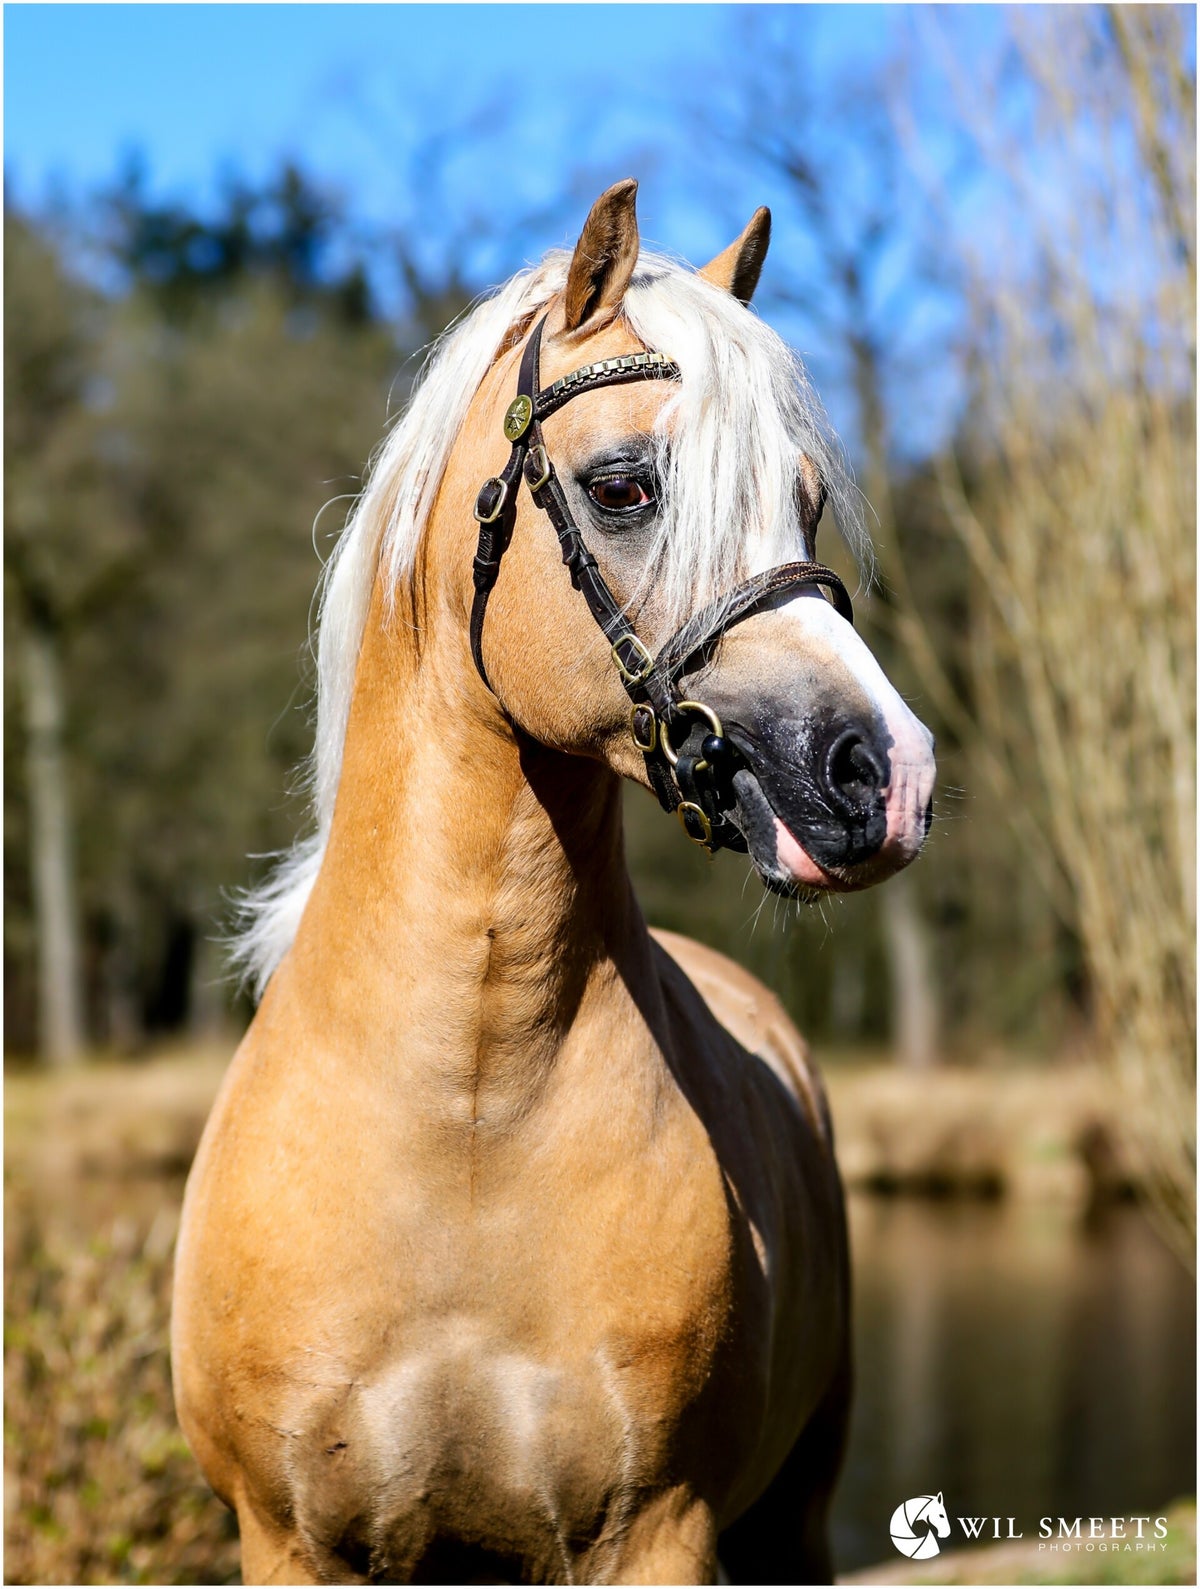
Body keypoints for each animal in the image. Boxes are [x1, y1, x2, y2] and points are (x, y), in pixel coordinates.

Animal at [172, 179, 936, 1586]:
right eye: (622, 485)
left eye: (805, 506)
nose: (884, 774)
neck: (469, 1114)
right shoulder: (291, 1538)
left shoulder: (661, 1531)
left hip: (797, 1512)